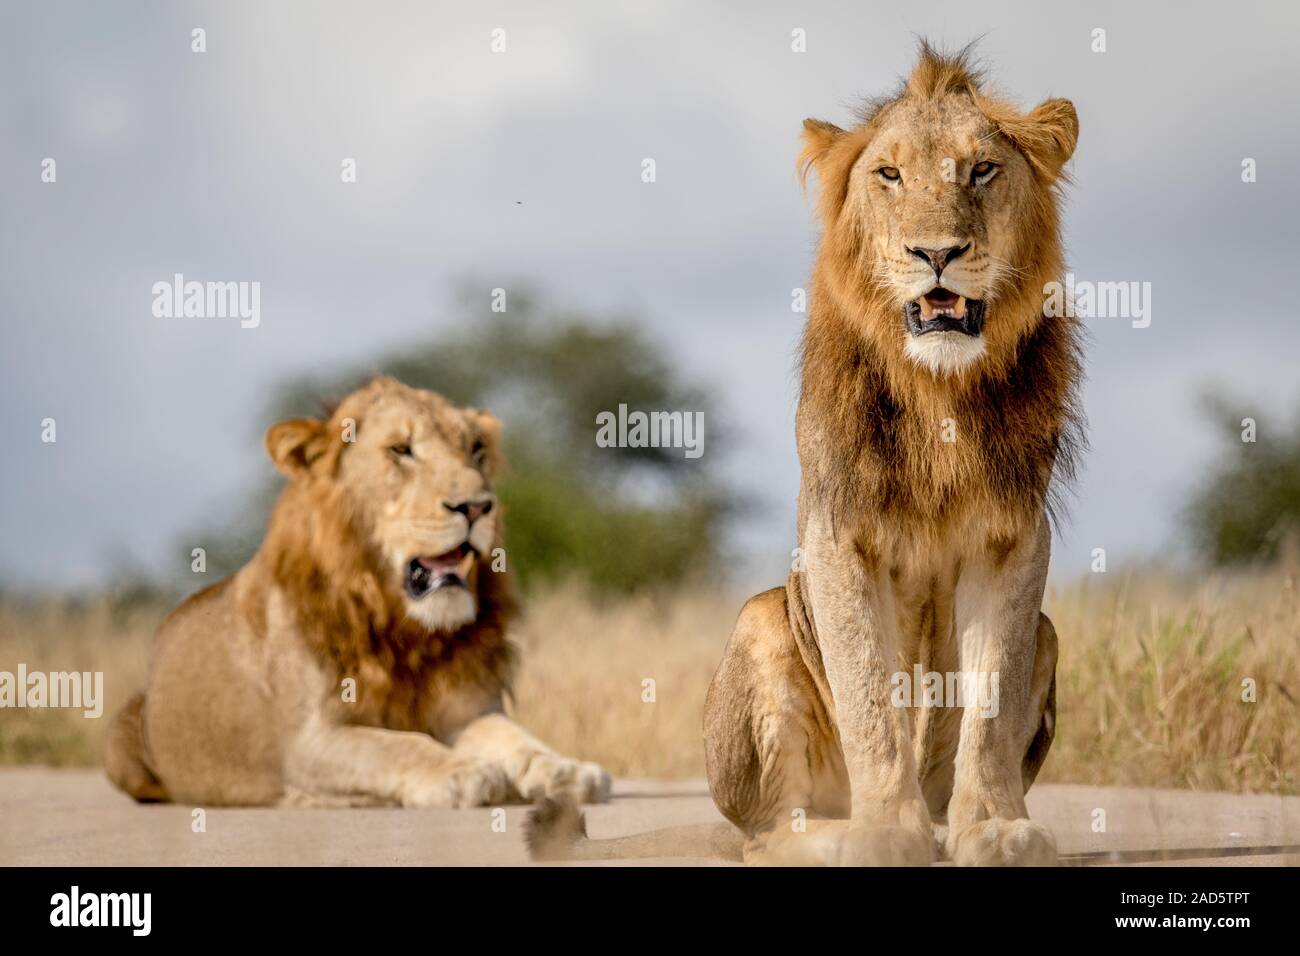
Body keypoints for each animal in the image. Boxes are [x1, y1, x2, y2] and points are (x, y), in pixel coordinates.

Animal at [105, 376, 611, 809]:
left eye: (476, 449)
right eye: (402, 450)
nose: (477, 507)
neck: (405, 627)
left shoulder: (469, 708)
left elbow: (520, 741)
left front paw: (567, 770)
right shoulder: (308, 741)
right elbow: (396, 746)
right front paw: (462, 772)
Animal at [527, 43, 1082, 865]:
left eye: (982, 170)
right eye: (889, 175)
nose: (938, 253)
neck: (938, 391)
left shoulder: (1013, 536)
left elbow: (991, 700)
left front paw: (995, 829)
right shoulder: (836, 533)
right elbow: (869, 695)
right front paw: (886, 832)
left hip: (1048, 633)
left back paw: (941, 829)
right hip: (763, 622)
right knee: (766, 836)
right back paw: (847, 834)